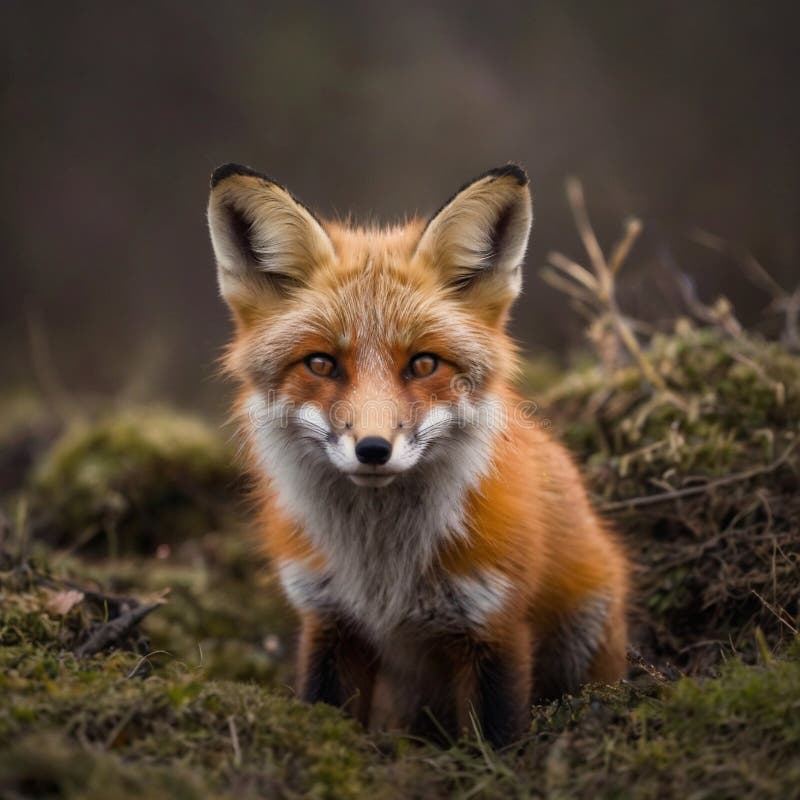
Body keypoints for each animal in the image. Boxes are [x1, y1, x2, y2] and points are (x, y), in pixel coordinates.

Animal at [207, 162, 629, 748]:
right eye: (321, 363)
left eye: (424, 363)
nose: (373, 449)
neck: (382, 573)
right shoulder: (330, 622)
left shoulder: (495, 624)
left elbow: (497, 741)